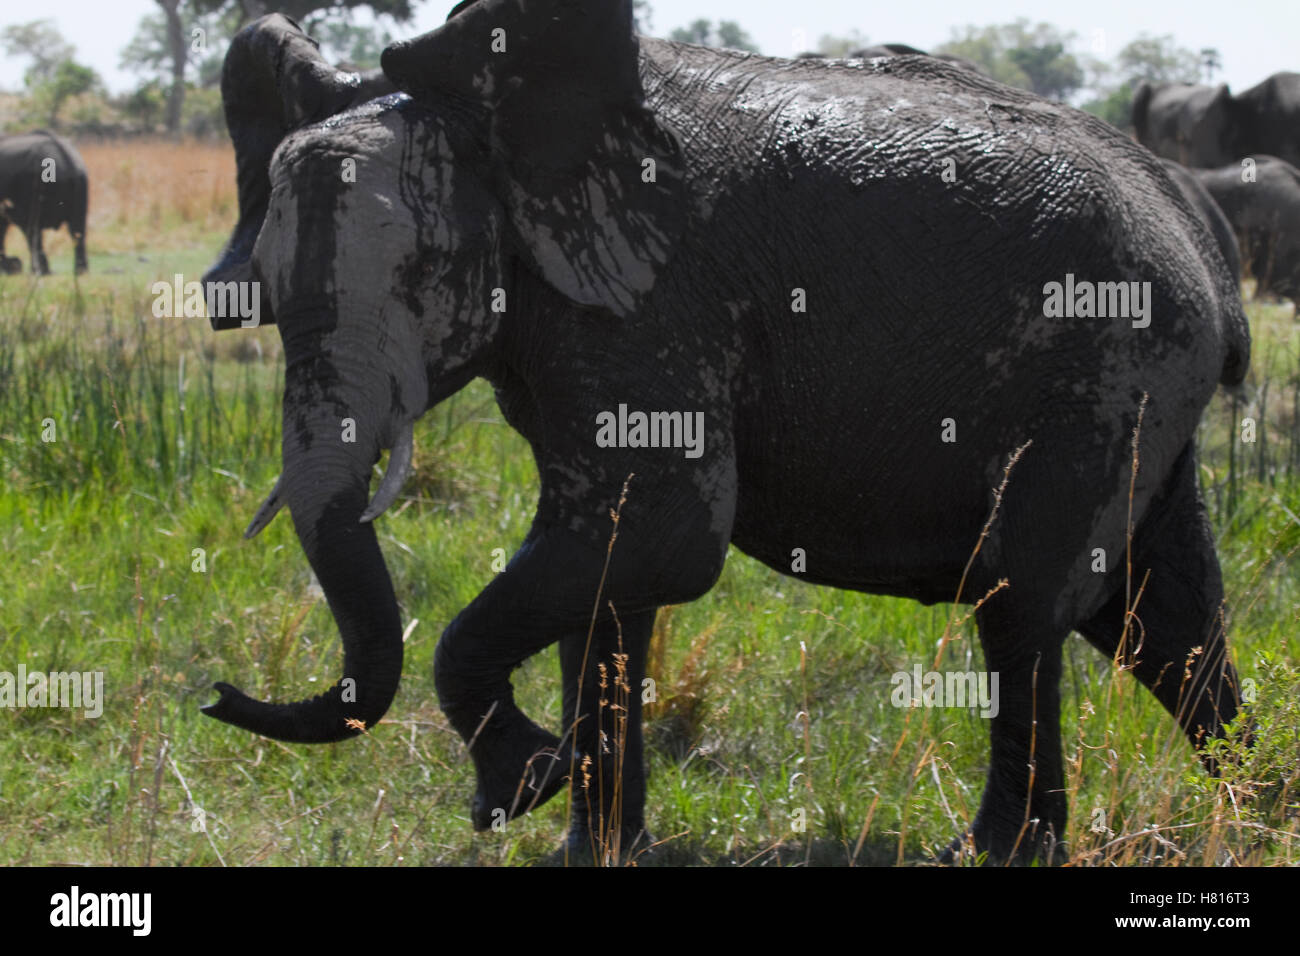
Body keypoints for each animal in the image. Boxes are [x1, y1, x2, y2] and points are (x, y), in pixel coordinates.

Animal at [0, 129, 89, 274]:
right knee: (77, 229)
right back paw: (80, 272)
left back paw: (38, 271)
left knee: (31, 228)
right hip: (81, 183)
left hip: (31, 184)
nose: (16, 263)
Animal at [199, 1, 1249, 864]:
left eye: (421, 278)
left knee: (1022, 599)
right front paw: (594, 851)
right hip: (1147, 385)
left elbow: (662, 536)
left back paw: (995, 854)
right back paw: (1251, 805)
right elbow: (609, 565)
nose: (215, 694)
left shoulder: (658, 301)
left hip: (1107, 355)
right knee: (1162, 618)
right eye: (270, 289)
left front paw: (520, 785)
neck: (503, 129)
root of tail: (1195, 223)